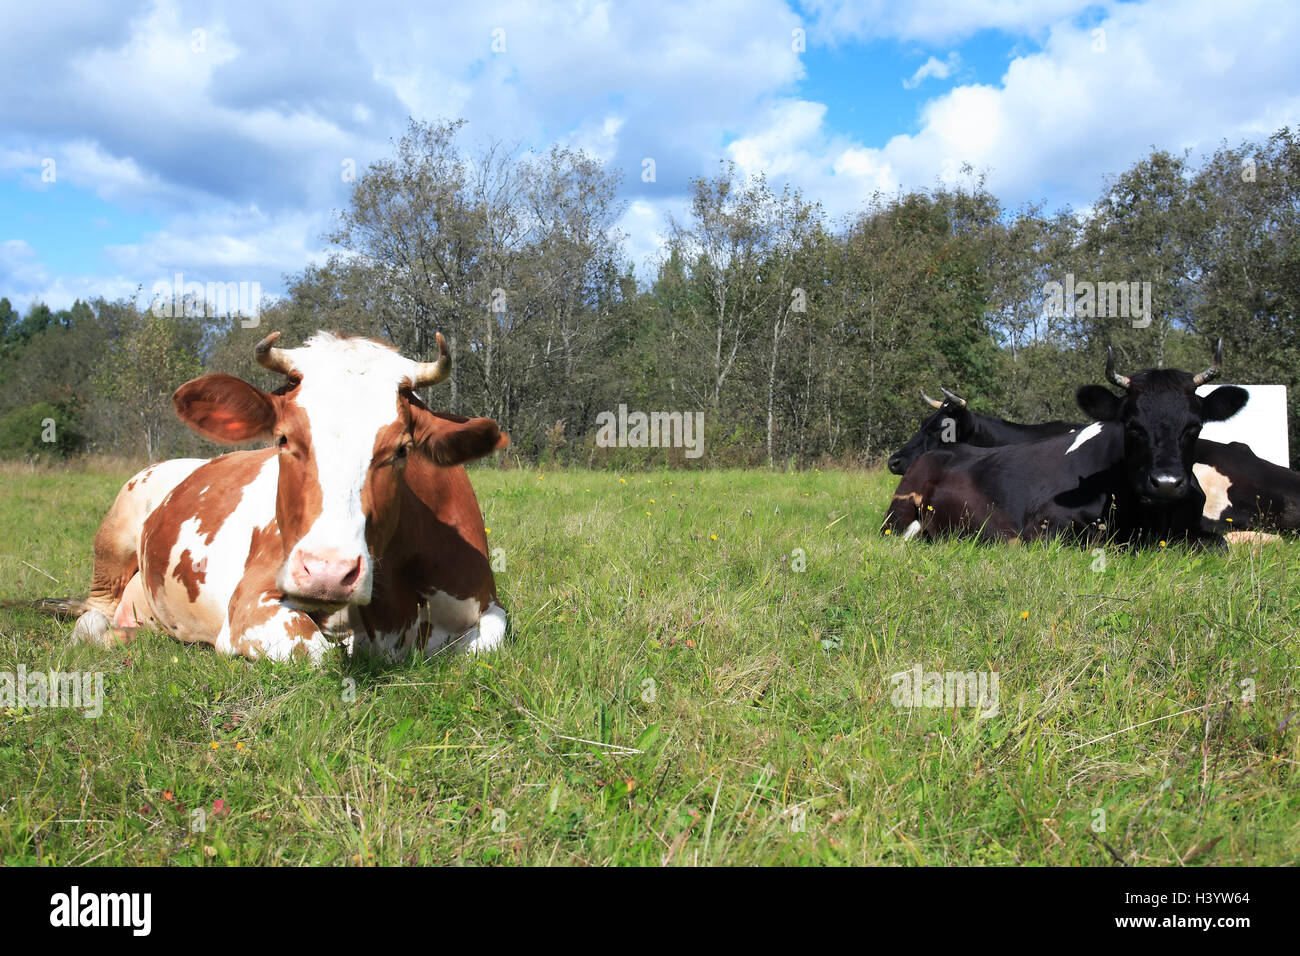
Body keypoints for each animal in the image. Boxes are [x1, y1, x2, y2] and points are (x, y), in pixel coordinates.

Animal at [70, 330, 509, 663]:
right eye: (283, 438)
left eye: (402, 449)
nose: (328, 573)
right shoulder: (251, 603)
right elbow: (318, 652)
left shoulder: (483, 601)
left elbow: (489, 639)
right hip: (116, 533)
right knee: (90, 617)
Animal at [884, 344, 1249, 547]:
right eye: (1132, 425)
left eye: (1195, 426)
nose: (1167, 483)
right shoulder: (1042, 527)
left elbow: (1221, 545)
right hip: (897, 516)